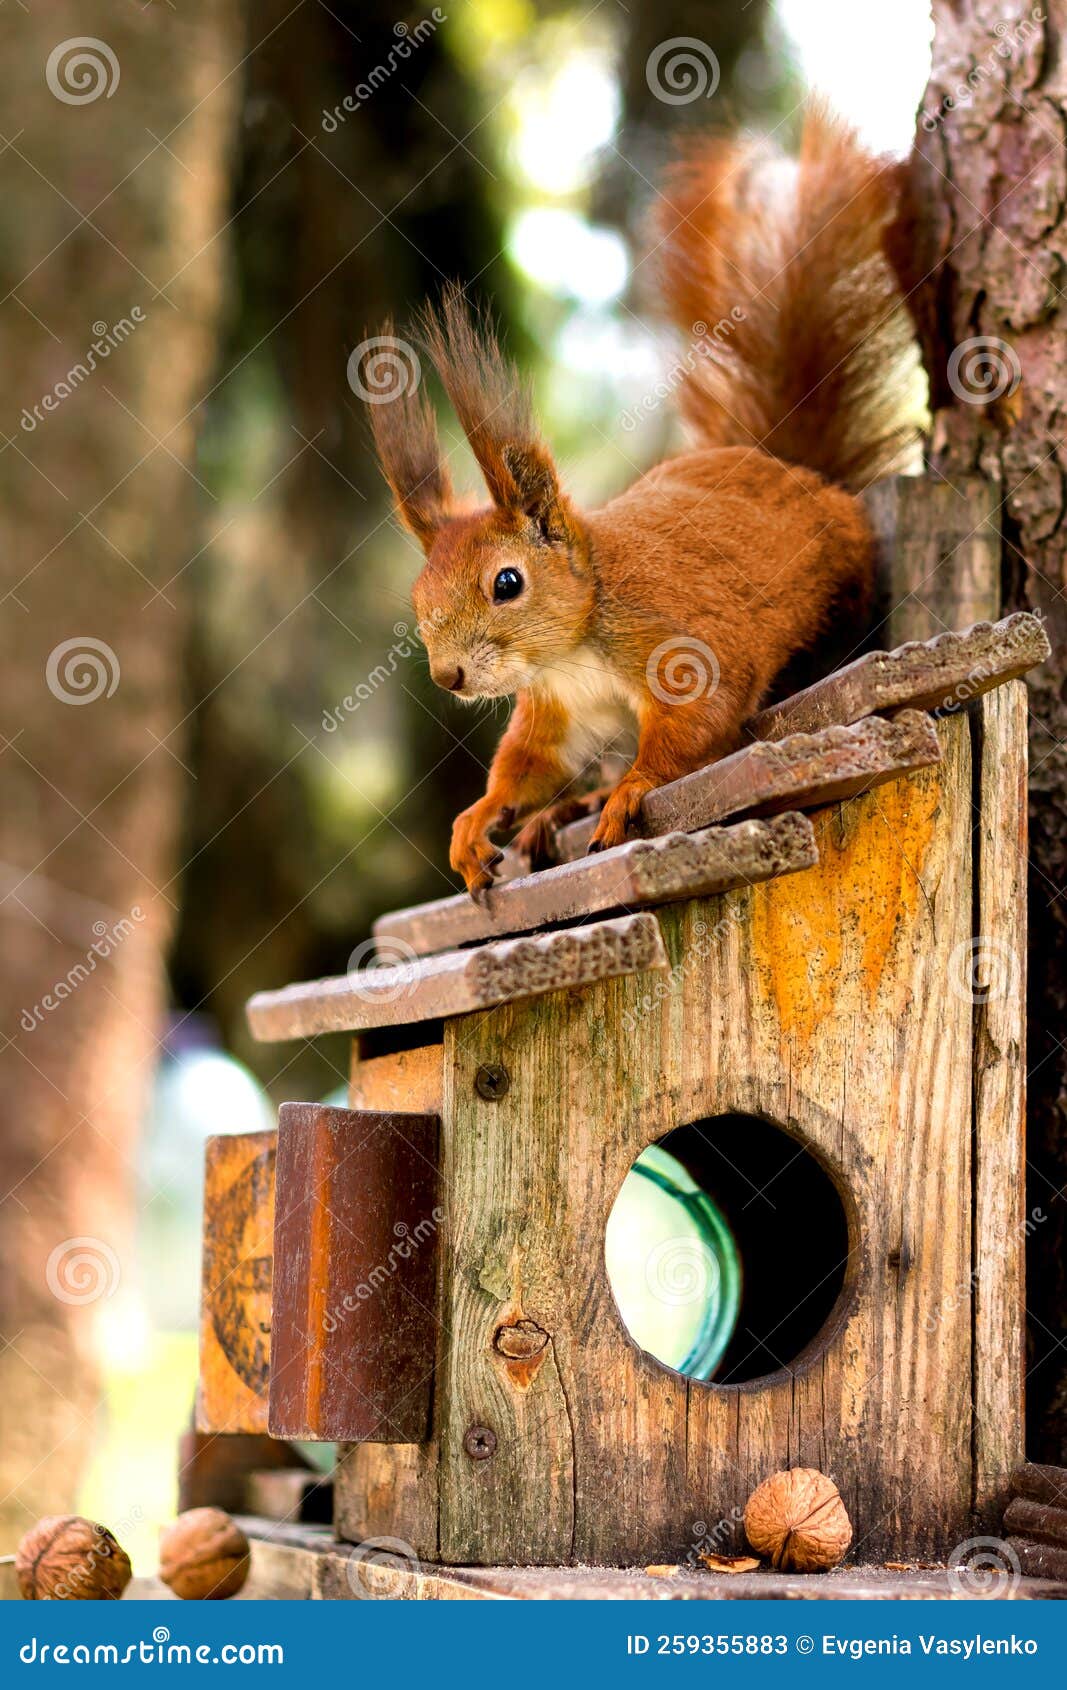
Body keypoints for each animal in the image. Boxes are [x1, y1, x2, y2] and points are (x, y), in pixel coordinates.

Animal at [368, 104, 917, 896]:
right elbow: (527, 768)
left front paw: (632, 789)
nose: (449, 676)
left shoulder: (679, 640)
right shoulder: (558, 713)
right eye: (417, 598)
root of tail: (794, 471)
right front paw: (477, 822)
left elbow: (696, 723)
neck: (574, 647)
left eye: (507, 583)